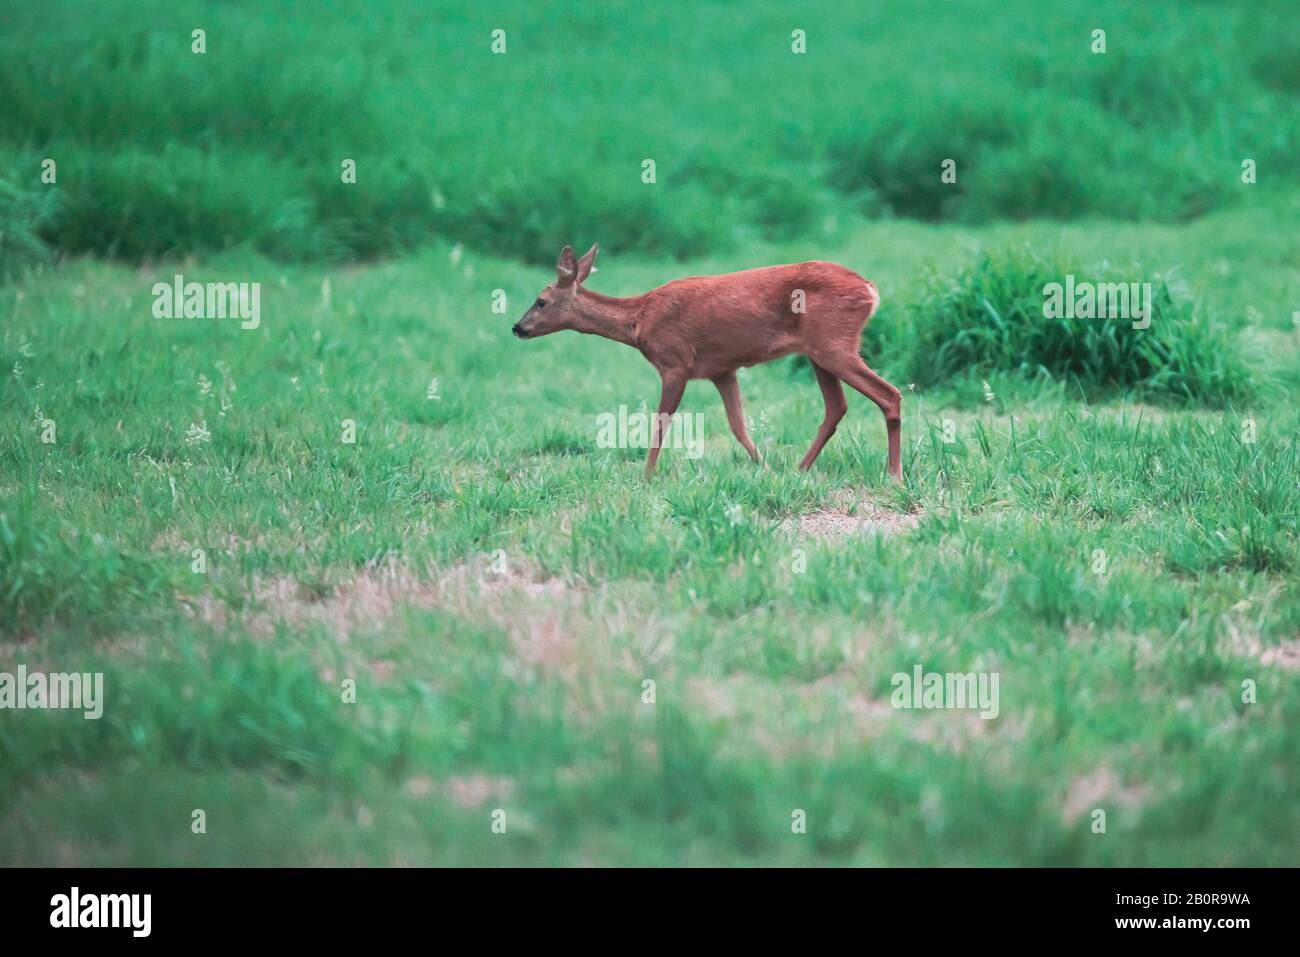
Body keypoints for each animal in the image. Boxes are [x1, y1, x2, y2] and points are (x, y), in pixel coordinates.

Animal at [512, 244, 902, 482]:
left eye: (541, 301)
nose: (517, 327)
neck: (638, 319)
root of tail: (869, 289)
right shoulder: (722, 370)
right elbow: (738, 425)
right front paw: (764, 467)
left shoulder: (675, 363)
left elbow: (660, 423)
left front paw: (646, 476)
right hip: (819, 351)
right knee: (836, 407)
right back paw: (799, 468)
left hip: (834, 345)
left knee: (890, 394)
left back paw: (894, 474)